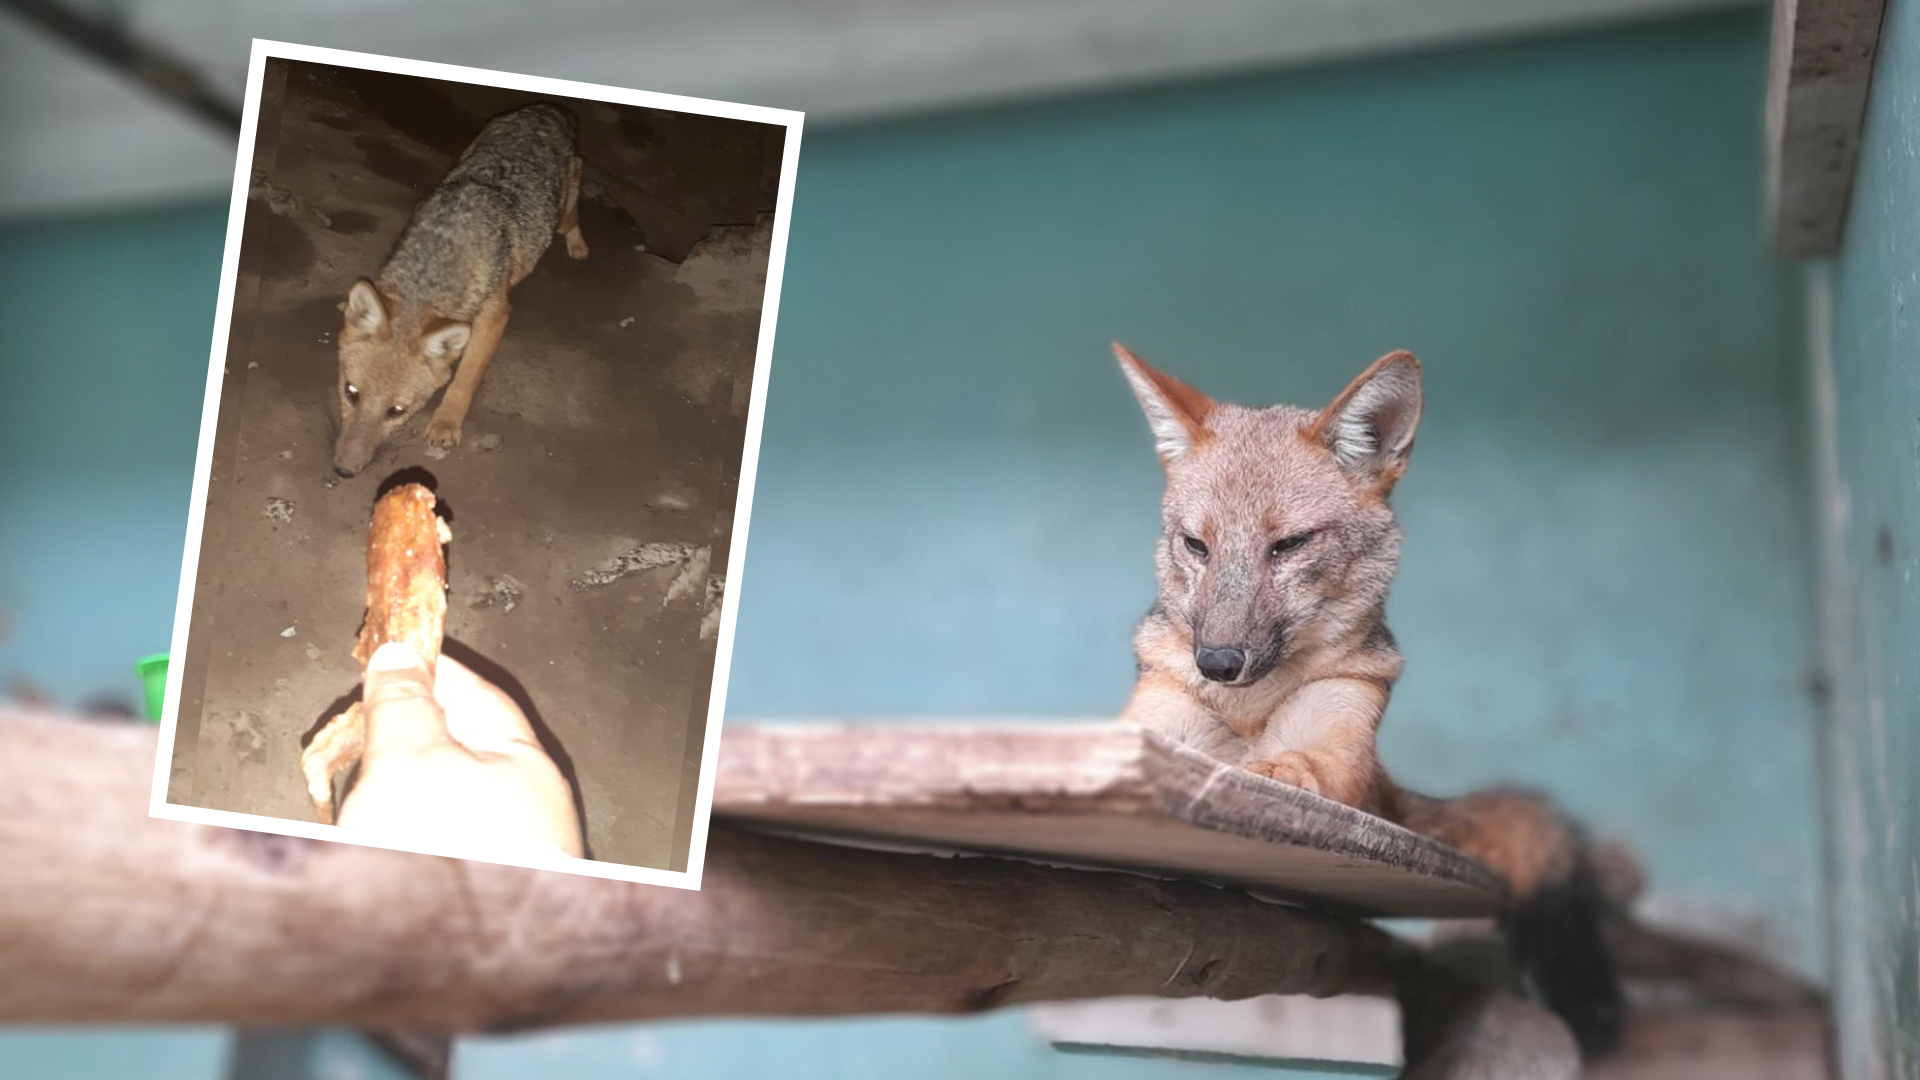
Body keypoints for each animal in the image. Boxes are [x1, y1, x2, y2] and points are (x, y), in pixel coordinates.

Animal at [331, 102, 588, 478]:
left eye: (397, 412)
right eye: (351, 392)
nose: (344, 472)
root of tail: (545, 109)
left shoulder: (495, 315)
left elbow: (466, 375)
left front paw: (447, 422)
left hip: (561, 214)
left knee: (573, 212)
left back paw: (578, 244)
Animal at [1113, 342, 1626, 1058]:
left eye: (1289, 545)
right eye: (1197, 546)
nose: (1215, 663)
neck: (1249, 711)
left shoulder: (1342, 747)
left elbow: (1297, 766)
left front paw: (1263, 772)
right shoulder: (1150, 727)